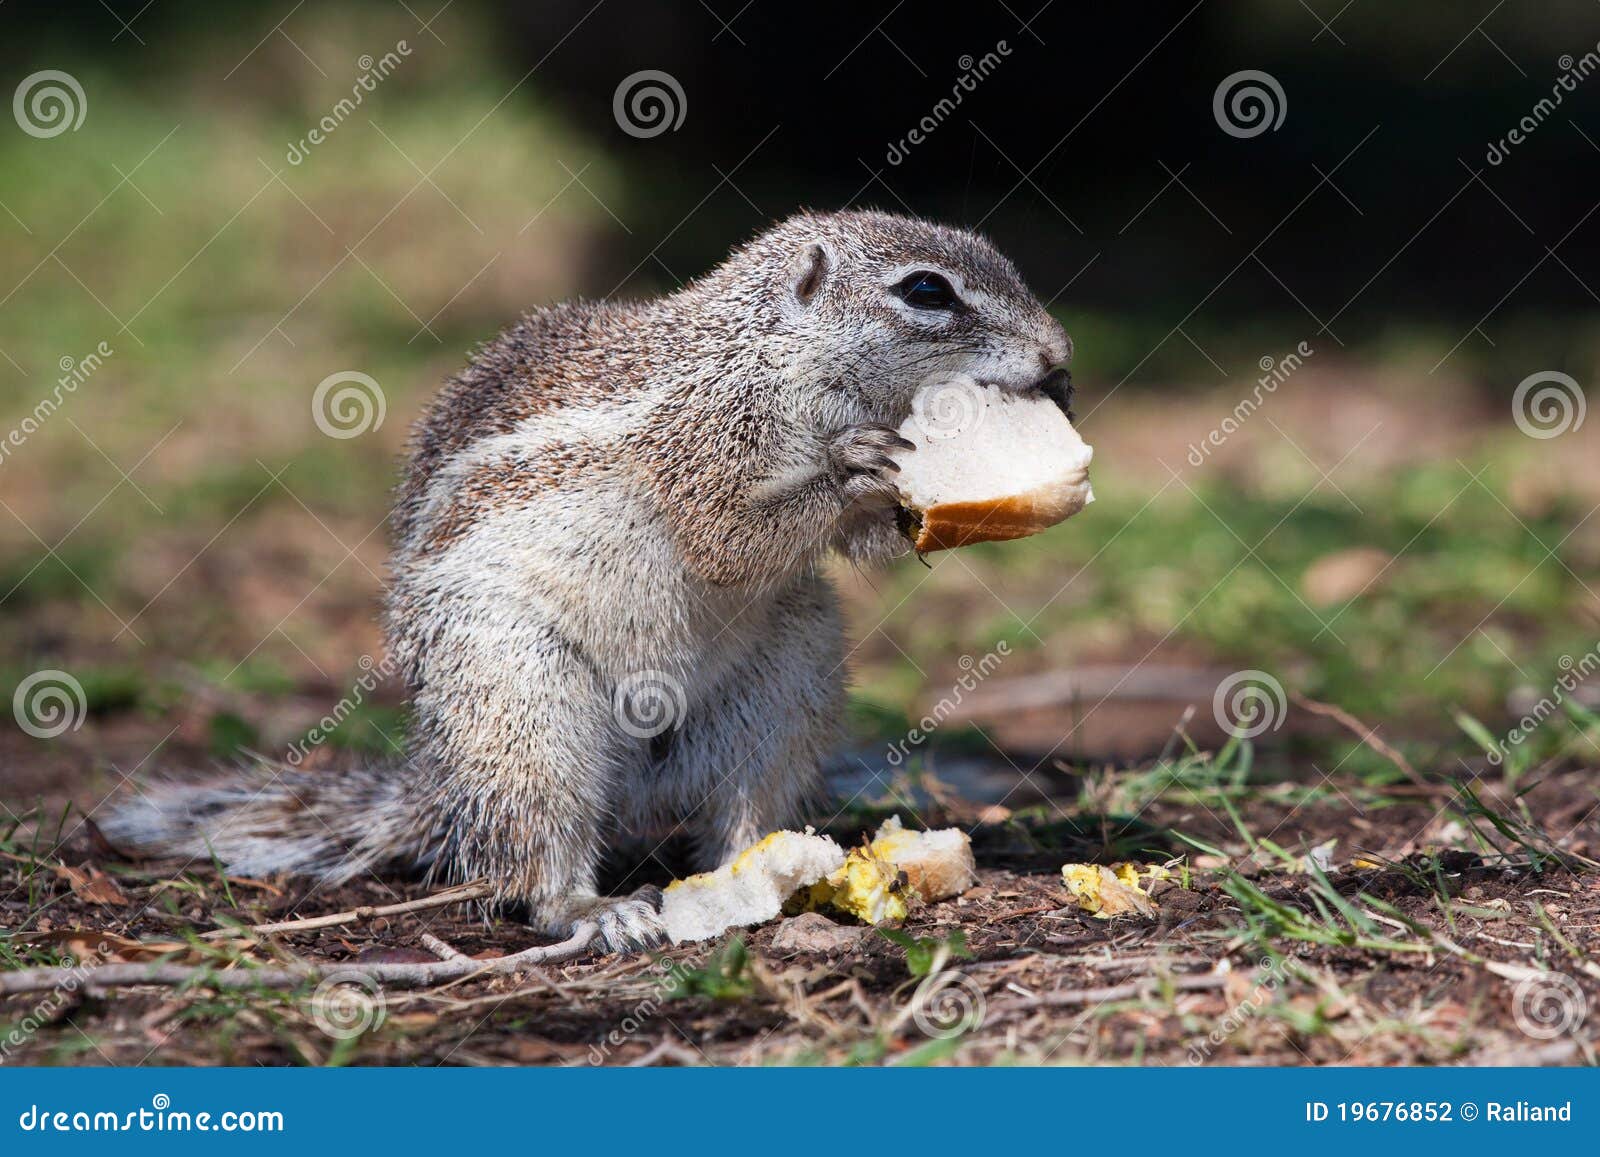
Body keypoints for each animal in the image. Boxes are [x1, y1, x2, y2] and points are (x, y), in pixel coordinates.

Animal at [104, 210, 1075, 953]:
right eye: (926, 292)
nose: (1062, 359)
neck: (770, 350)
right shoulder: (705, 442)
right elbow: (727, 537)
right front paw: (856, 470)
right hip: (517, 702)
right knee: (537, 853)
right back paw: (597, 909)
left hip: (789, 676)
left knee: (740, 800)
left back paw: (774, 866)